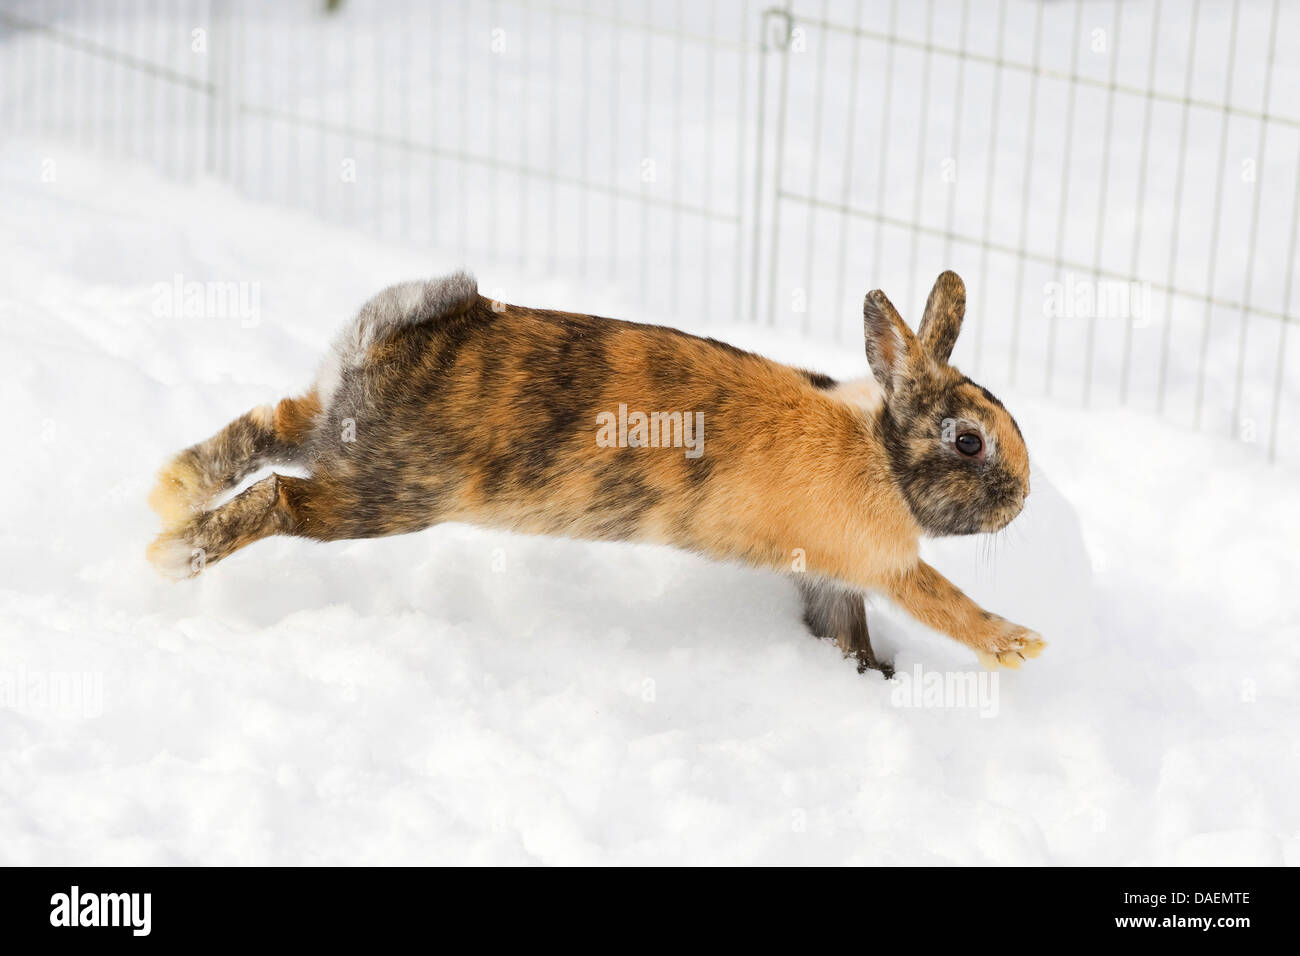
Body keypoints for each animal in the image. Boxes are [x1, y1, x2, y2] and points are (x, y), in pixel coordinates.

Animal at [147, 269, 1044, 673]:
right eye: (970, 442)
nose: (1022, 502)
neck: (880, 448)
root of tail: (386, 341)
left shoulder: (832, 577)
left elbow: (844, 632)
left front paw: (874, 679)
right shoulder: (883, 561)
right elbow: (945, 600)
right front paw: (1017, 645)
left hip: (340, 437)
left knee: (267, 428)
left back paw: (168, 499)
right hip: (393, 491)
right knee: (278, 496)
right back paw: (172, 558)